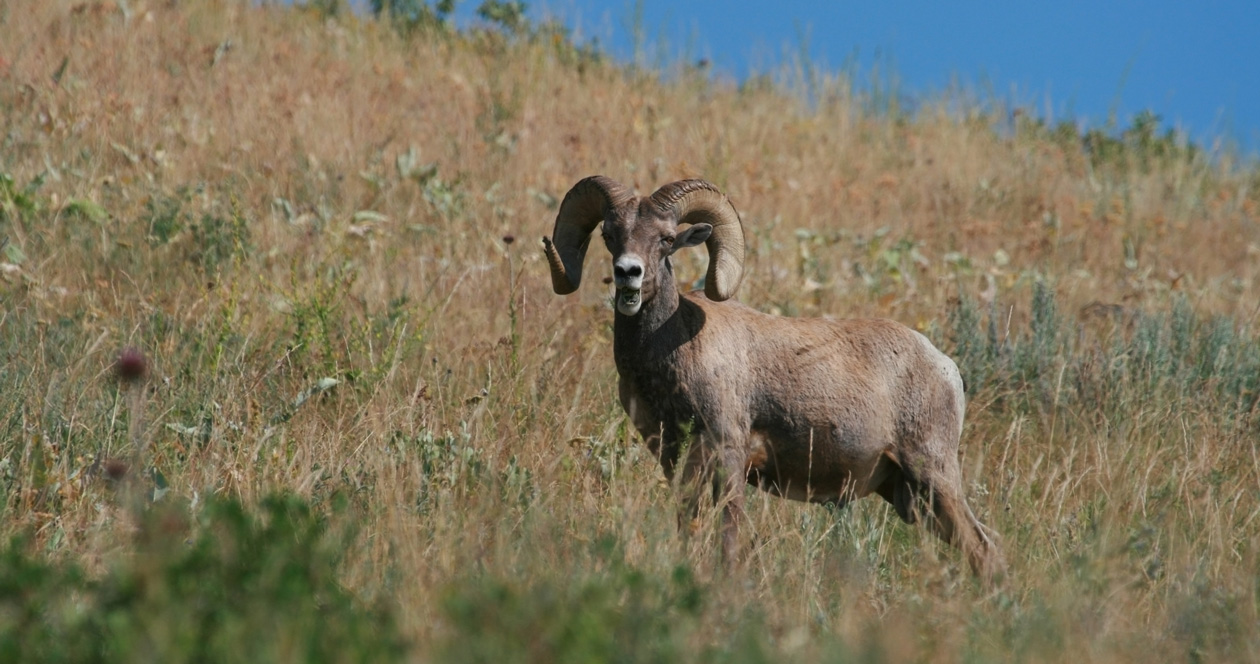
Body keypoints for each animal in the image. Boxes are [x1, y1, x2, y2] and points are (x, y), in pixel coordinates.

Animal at [543, 176, 1006, 582]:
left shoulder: (727, 454)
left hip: (933, 473)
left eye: (667, 239)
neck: (672, 350)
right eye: (609, 234)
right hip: (910, 497)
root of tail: (946, 367)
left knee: (984, 550)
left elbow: (729, 537)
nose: (628, 274)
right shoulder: (675, 461)